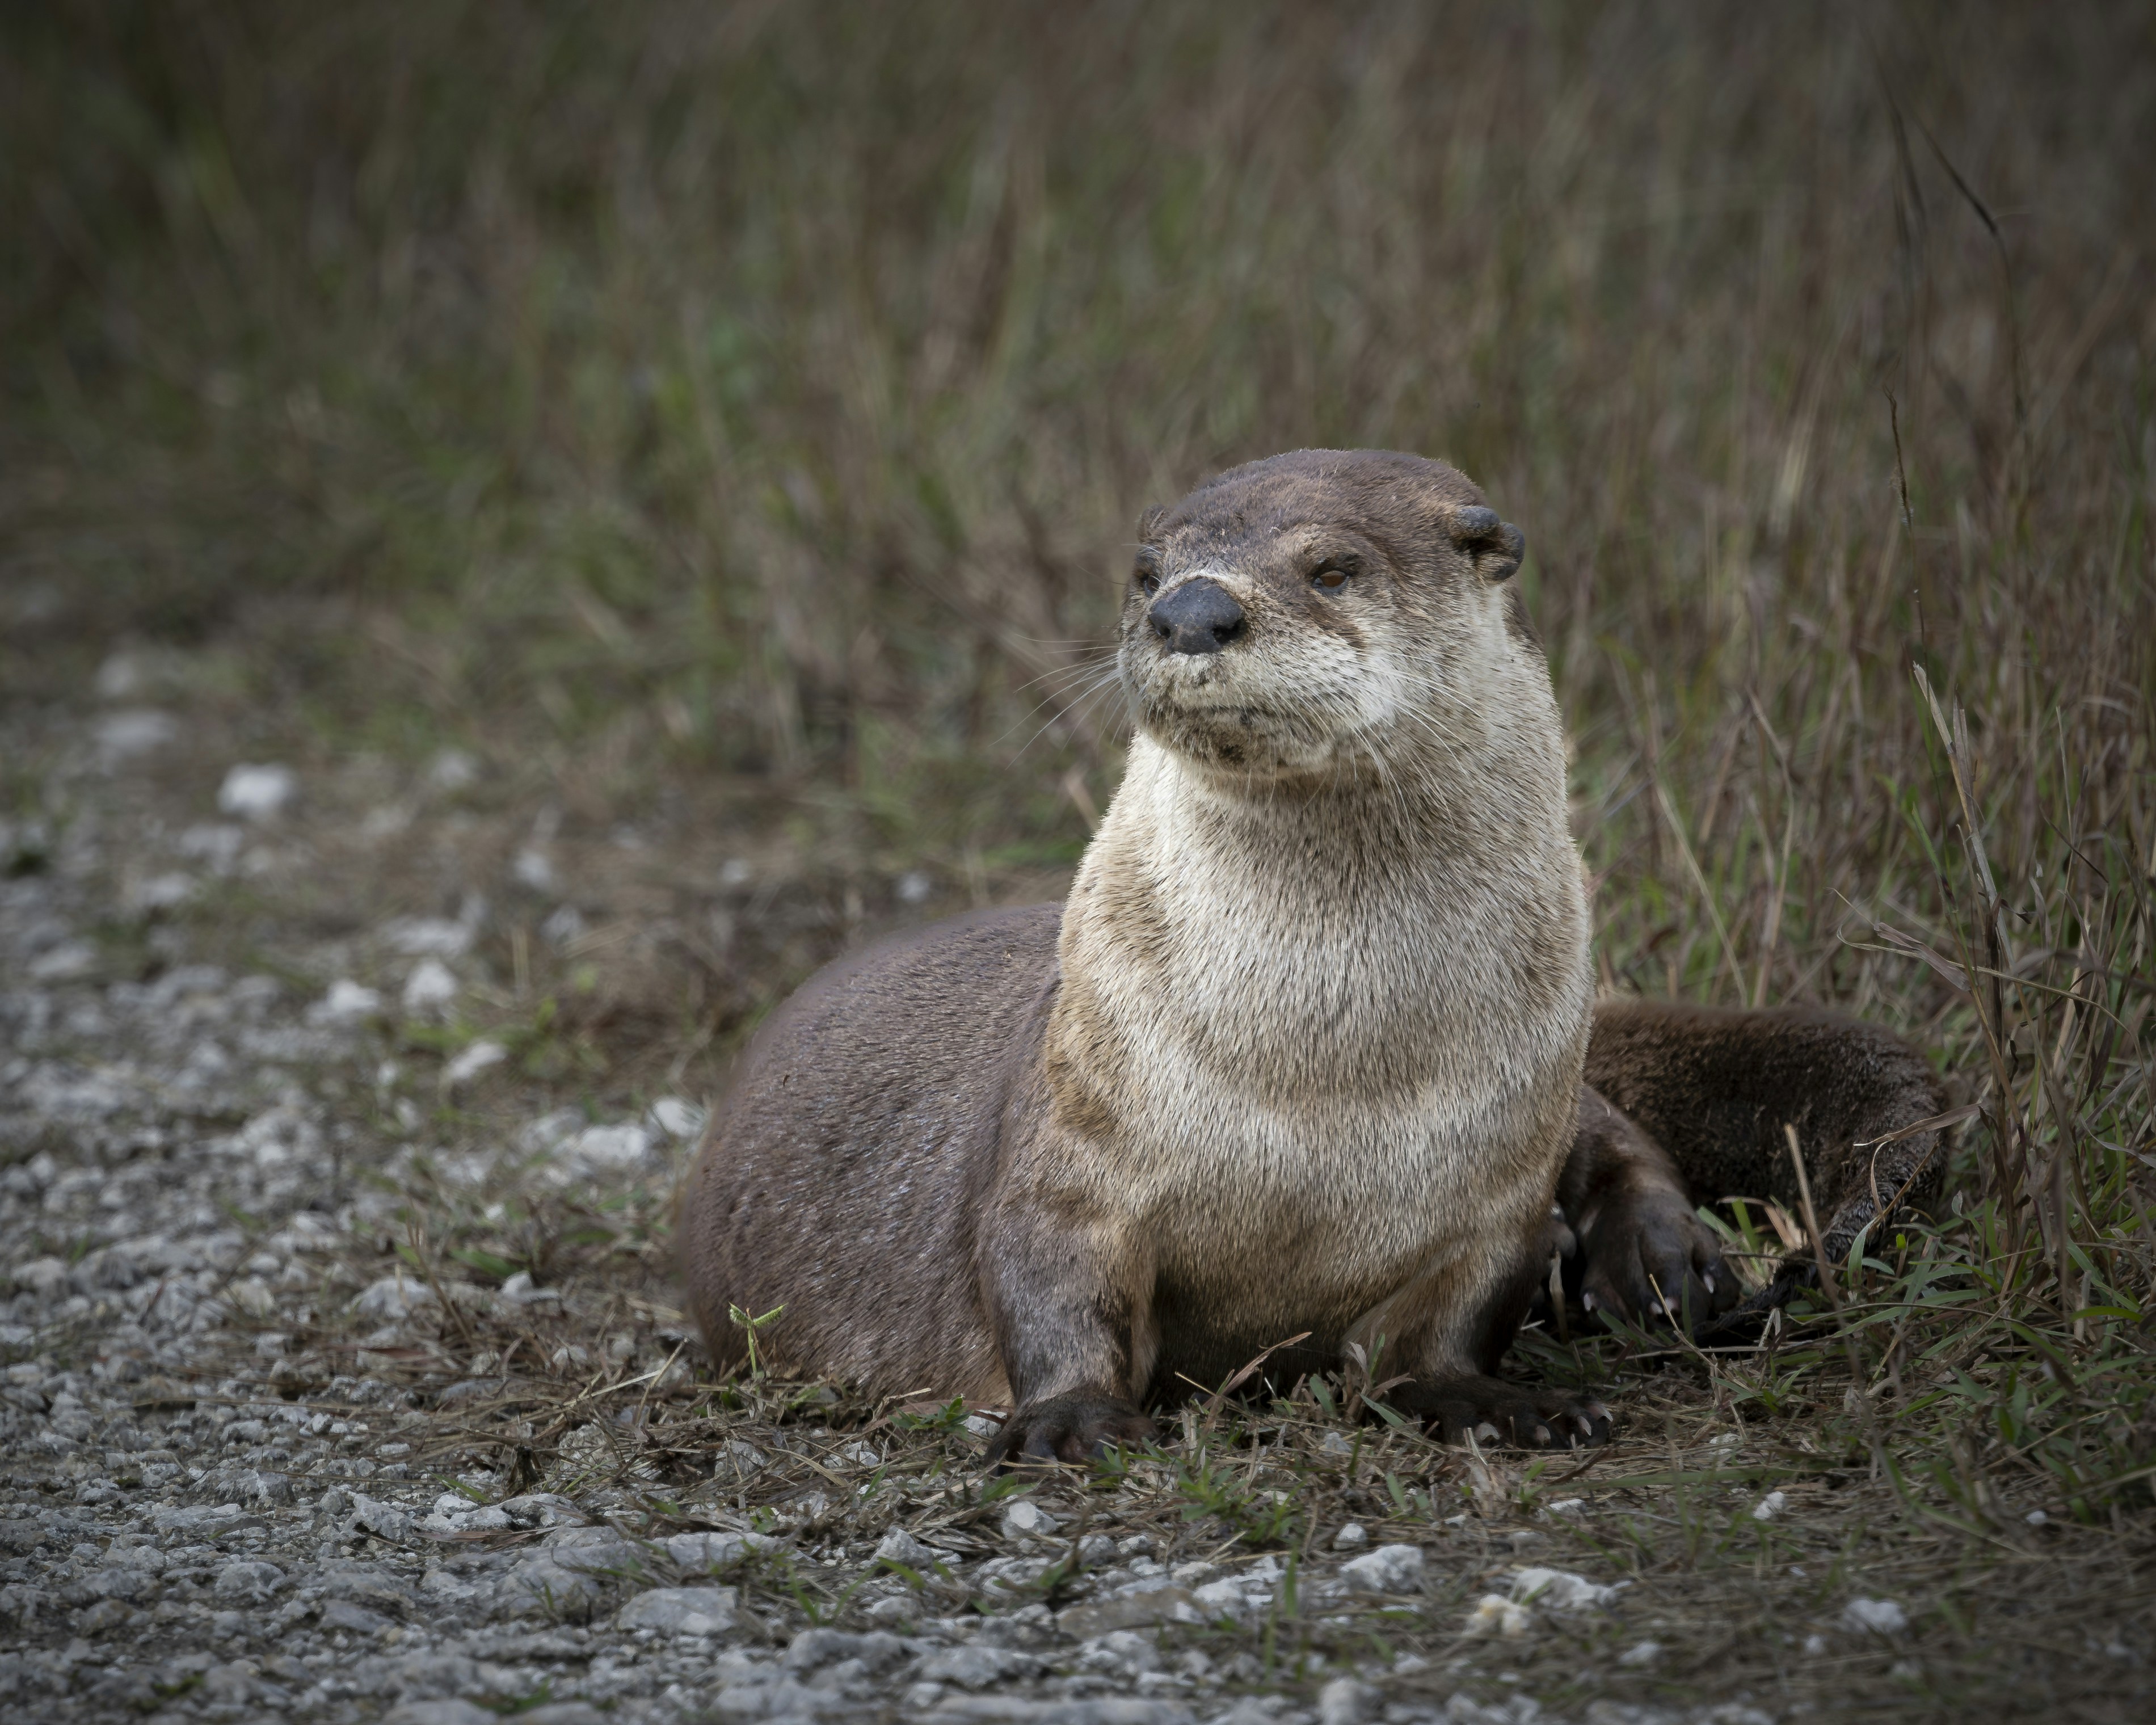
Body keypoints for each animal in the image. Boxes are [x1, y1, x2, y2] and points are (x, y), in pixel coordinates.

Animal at [679, 449, 1949, 1460]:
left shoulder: (1492, 1178)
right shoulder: (1072, 1137)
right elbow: (1052, 1277)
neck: (1317, 1080)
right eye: (1146, 568)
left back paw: (1661, 1266)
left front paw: (1493, 1402)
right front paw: (1070, 1422)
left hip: (1565, 1079)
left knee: (1622, 1140)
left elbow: (1446, 1316)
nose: (1192, 609)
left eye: (1331, 567)